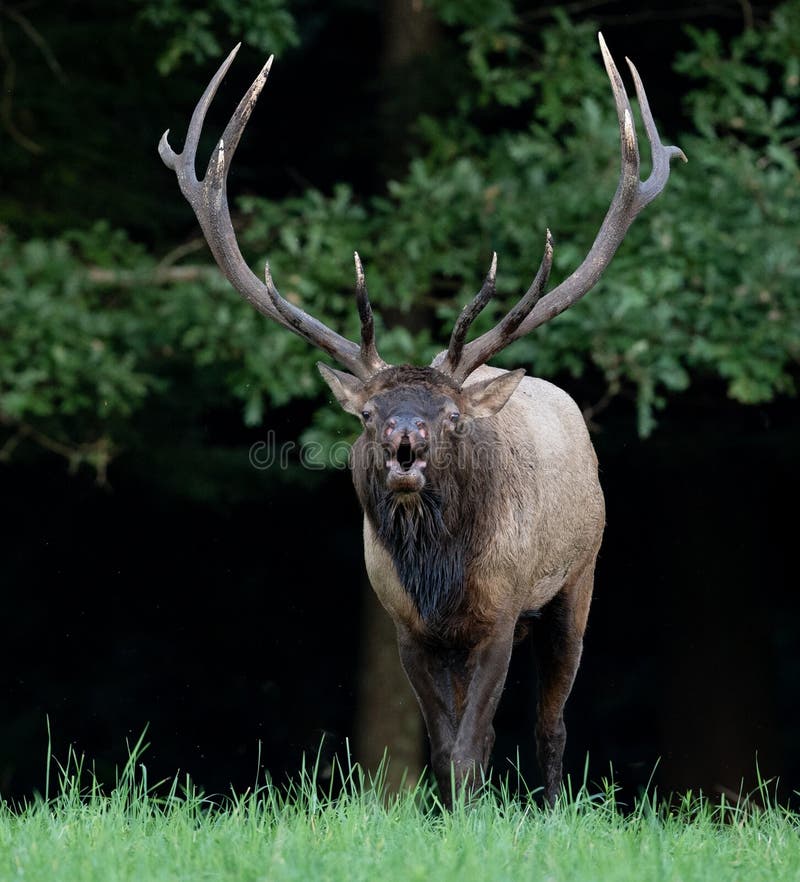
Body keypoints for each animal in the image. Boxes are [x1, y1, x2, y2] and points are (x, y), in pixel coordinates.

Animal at [159, 34, 685, 806]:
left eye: (451, 414)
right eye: (368, 412)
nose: (405, 441)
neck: (439, 578)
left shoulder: (502, 612)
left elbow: (471, 745)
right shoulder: (406, 627)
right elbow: (445, 748)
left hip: (578, 579)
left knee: (552, 722)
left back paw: (554, 802)